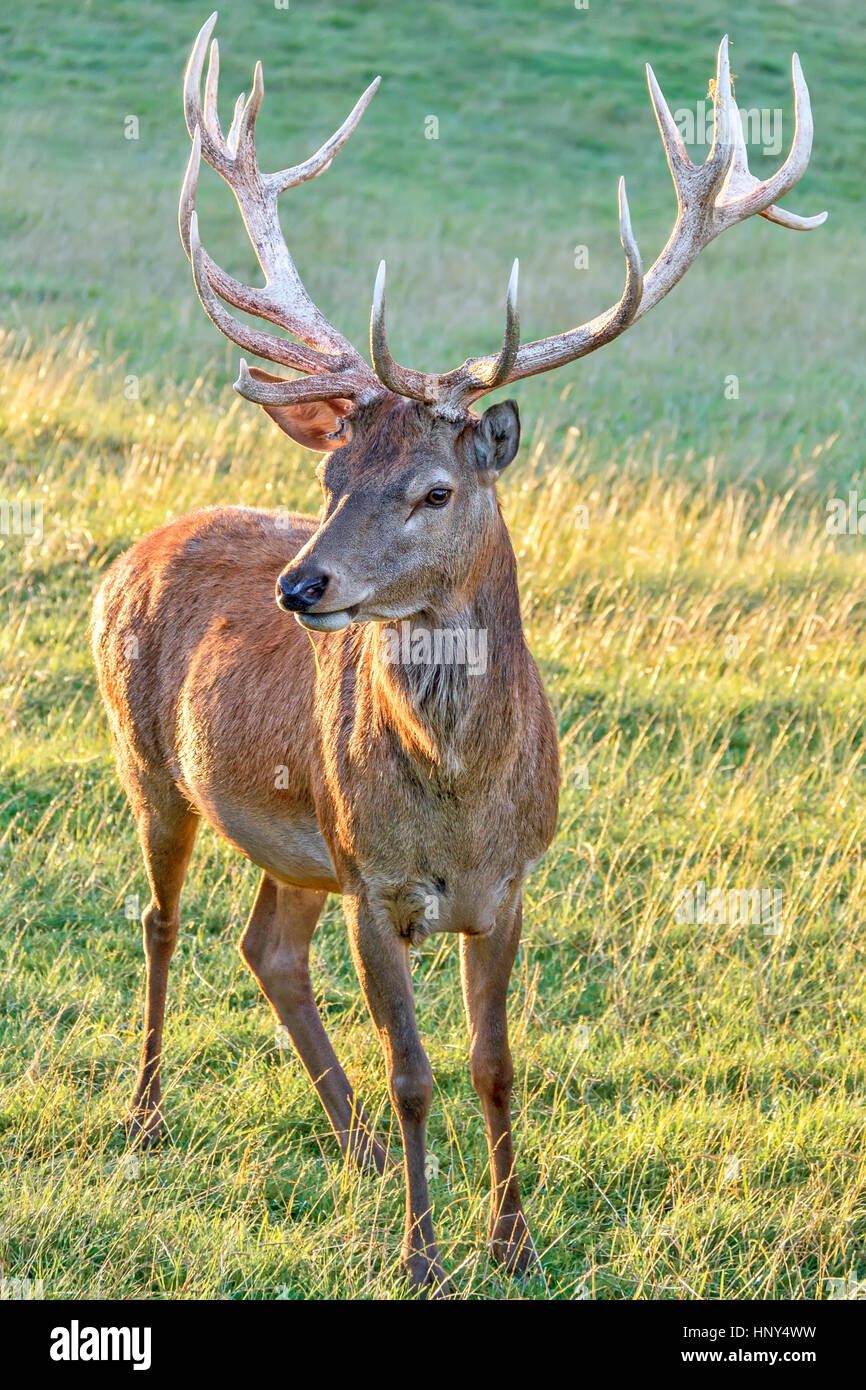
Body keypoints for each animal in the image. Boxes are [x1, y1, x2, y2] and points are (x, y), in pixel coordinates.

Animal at [90, 12, 825, 1296]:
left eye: (435, 487)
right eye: (333, 474)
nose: (302, 585)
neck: (457, 797)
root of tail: (130, 552)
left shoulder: (511, 882)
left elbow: (492, 1064)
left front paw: (513, 1239)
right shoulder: (374, 879)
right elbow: (417, 1068)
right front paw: (425, 1254)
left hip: (294, 842)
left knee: (264, 944)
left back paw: (358, 1148)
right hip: (155, 763)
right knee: (162, 921)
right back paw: (148, 1117)